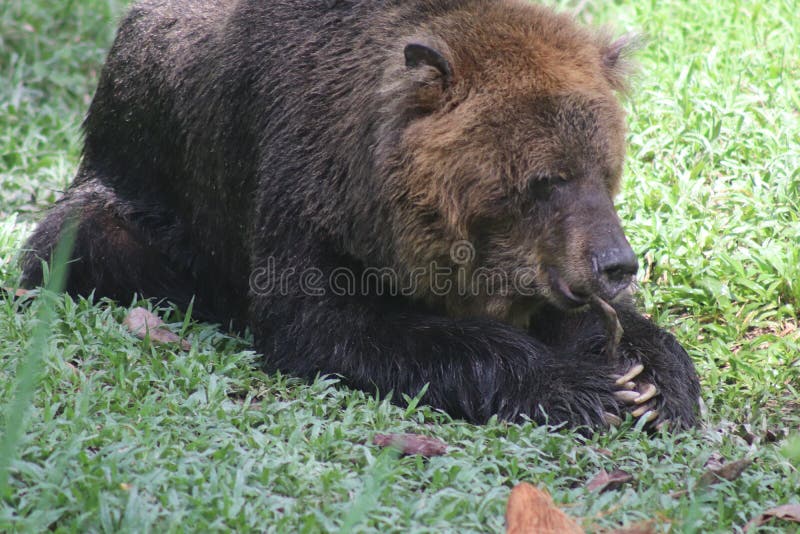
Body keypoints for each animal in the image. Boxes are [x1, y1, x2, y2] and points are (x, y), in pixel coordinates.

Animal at [21, 0, 700, 429]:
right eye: (546, 180)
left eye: (604, 171)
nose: (616, 264)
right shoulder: (299, 183)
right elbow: (328, 326)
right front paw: (583, 388)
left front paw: (652, 378)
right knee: (88, 240)